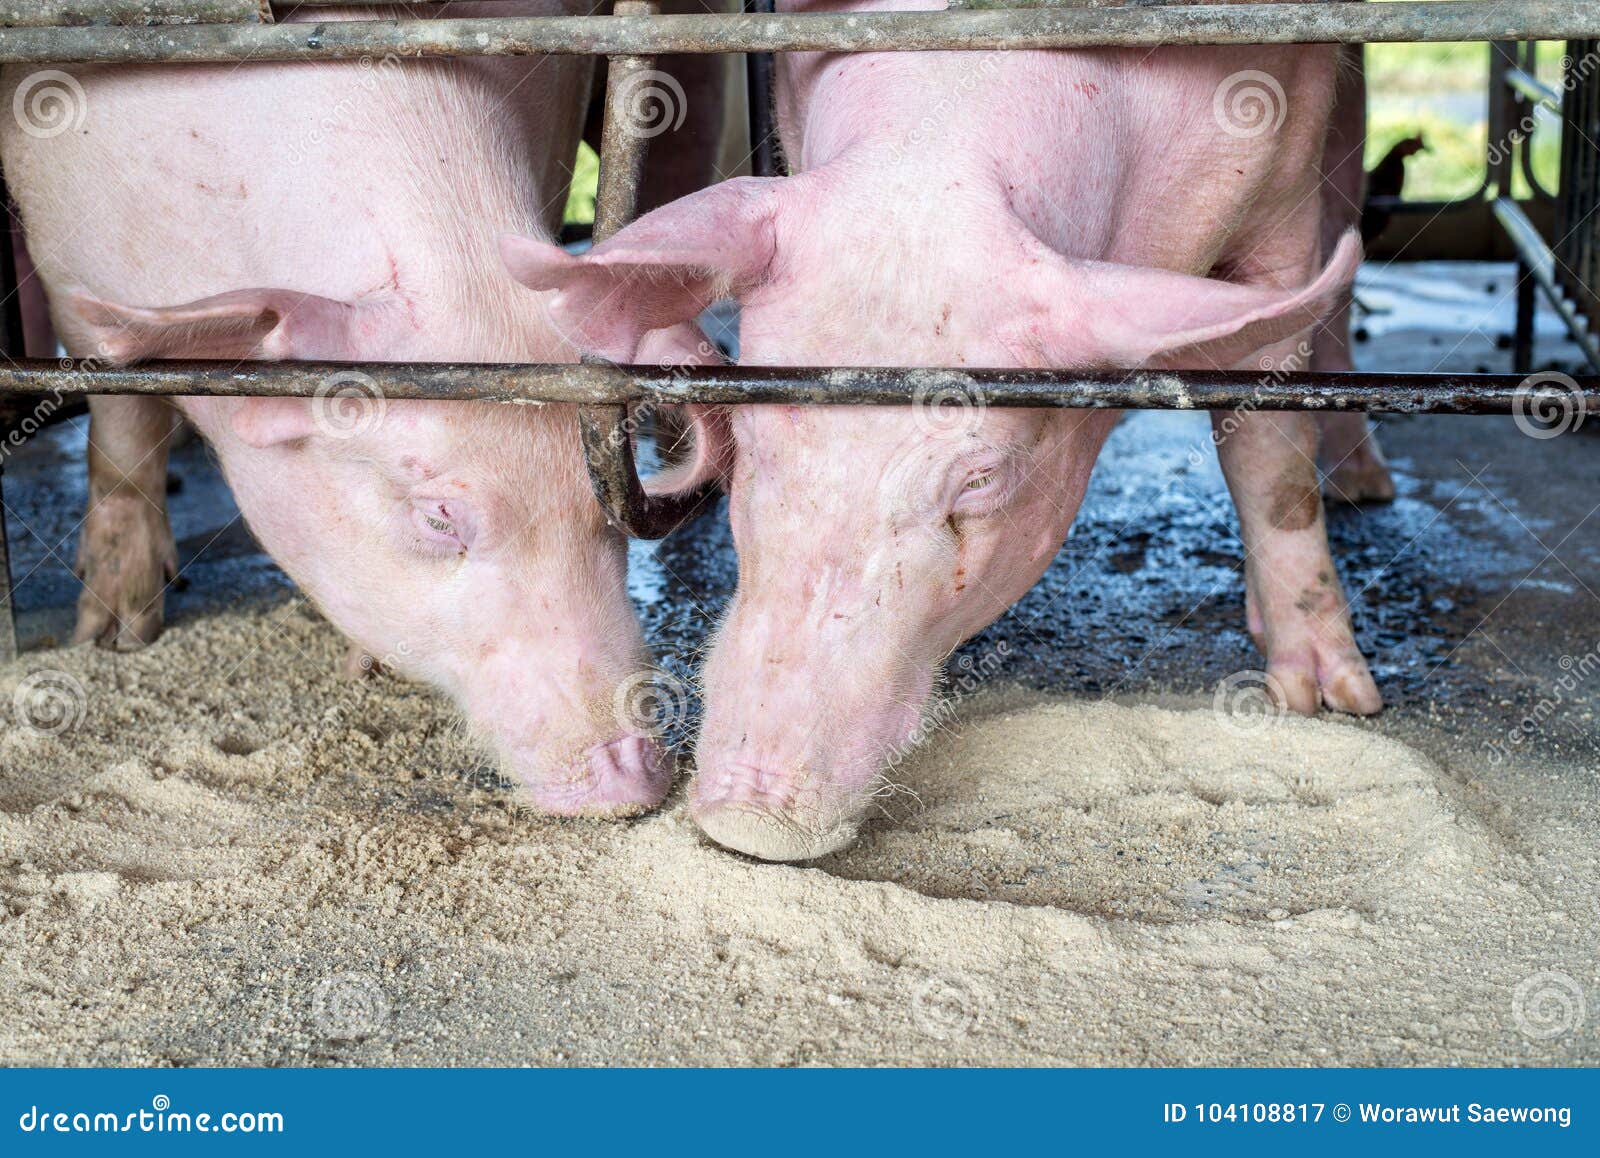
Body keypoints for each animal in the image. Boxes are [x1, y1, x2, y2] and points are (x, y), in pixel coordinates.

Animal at [0, 2, 707, 816]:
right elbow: (121, 413)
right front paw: (115, 635)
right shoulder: (63, 261)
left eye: (605, 508)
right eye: (439, 519)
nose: (639, 776)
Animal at [502, 0, 1386, 858]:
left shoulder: (1283, 181)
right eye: (751, 442)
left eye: (980, 483)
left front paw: (1325, 700)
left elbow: (1271, 451)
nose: (746, 820)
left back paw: (1362, 490)